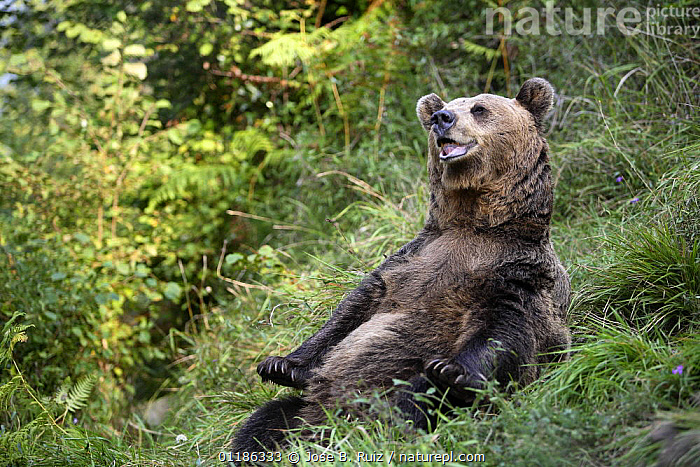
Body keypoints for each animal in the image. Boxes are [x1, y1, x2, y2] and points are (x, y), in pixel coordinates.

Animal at [232, 77, 571, 453]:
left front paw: (453, 371)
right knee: (265, 423)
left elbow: (504, 330)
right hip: (307, 409)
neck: (474, 224)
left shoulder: (514, 271)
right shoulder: (408, 263)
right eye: (445, 107)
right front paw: (282, 365)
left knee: (416, 399)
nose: (441, 118)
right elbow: (347, 315)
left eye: (480, 108)